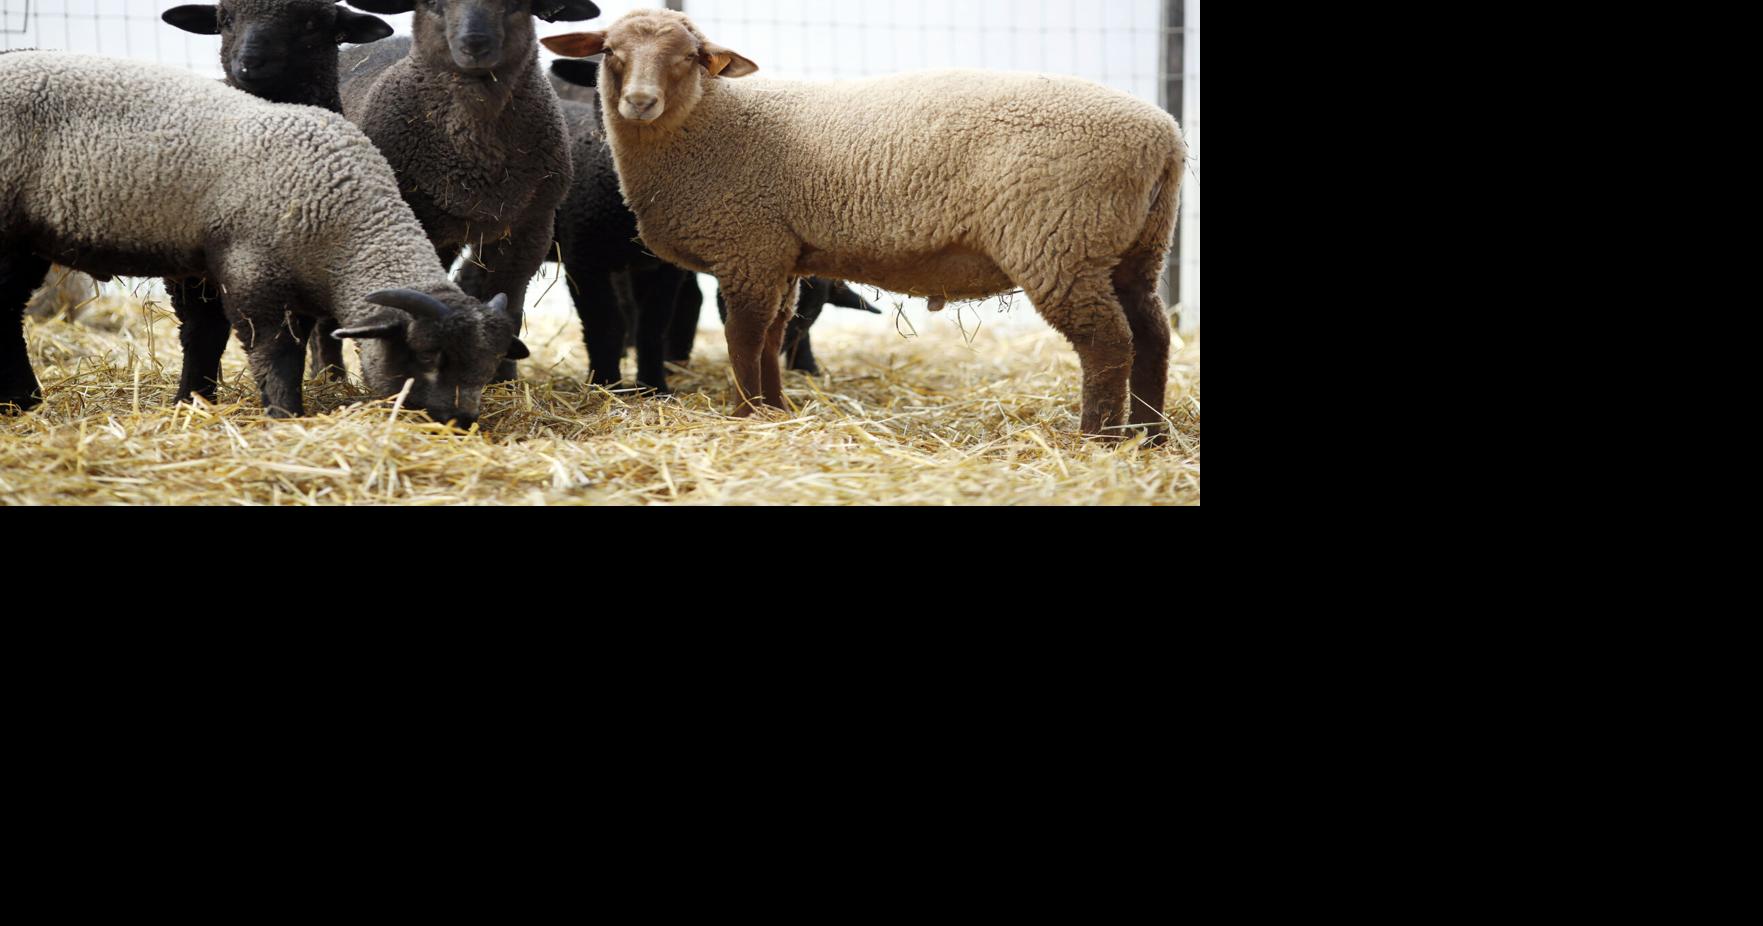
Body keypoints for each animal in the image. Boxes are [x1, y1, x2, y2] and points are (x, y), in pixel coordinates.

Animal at [0, 51, 528, 427]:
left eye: (488, 365)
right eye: (427, 355)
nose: (460, 422)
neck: (349, 223)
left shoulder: (222, 268)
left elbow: (204, 338)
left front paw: (193, 402)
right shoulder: (251, 270)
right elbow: (273, 350)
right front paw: (284, 413)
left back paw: (24, 401)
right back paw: (21, 401)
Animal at [159, 0, 396, 395]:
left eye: (312, 23)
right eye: (225, 20)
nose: (250, 62)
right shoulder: (189, 276)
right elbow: (201, 334)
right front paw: (191, 397)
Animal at [338, 0, 602, 384]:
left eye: (516, 6)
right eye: (433, 6)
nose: (474, 44)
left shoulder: (529, 229)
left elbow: (507, 301)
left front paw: (500, 379)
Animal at [543, 10, 1187, 440]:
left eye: (688, 56)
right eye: (611, 52)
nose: (639, 102)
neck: (711, 122)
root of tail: (1165, 137)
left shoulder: (748, 246)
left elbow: (743, 336)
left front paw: (746, 413)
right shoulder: (780, 253)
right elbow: (774, 334)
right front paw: (776, 408)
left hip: (1062, 241)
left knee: (1108, 342)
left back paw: (1097, 436)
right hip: (1136, 247)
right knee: (1153, 335)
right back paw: (1149, 433)